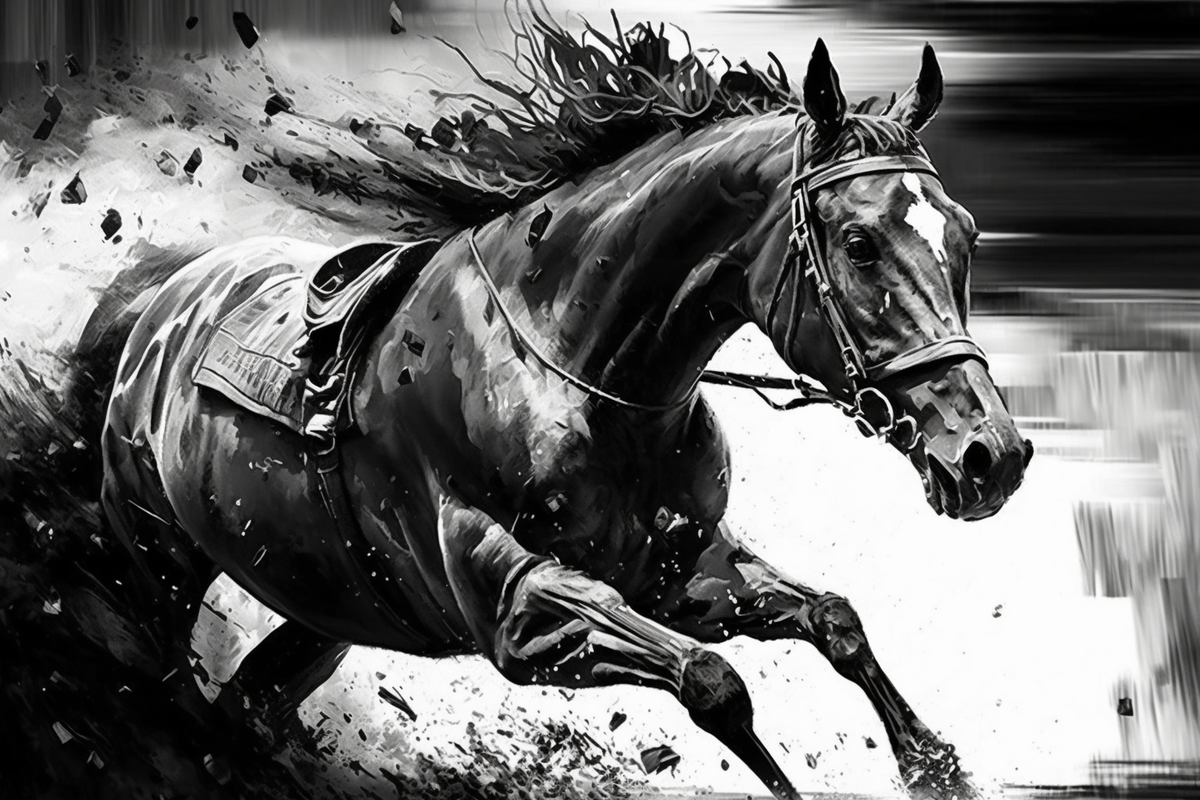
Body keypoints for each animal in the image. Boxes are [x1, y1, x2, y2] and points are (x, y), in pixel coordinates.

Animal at [95, 36, 1031, 800]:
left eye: (967, 237)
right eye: (861, 244)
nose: (992, 456)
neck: (579, 374)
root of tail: (164, 302)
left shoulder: (680, 570)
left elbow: (835, 620)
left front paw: (934, 764)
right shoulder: (517, 611)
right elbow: (713, 683)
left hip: (327, 610)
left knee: (253, 697)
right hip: (153, 550)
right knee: (159, 657)